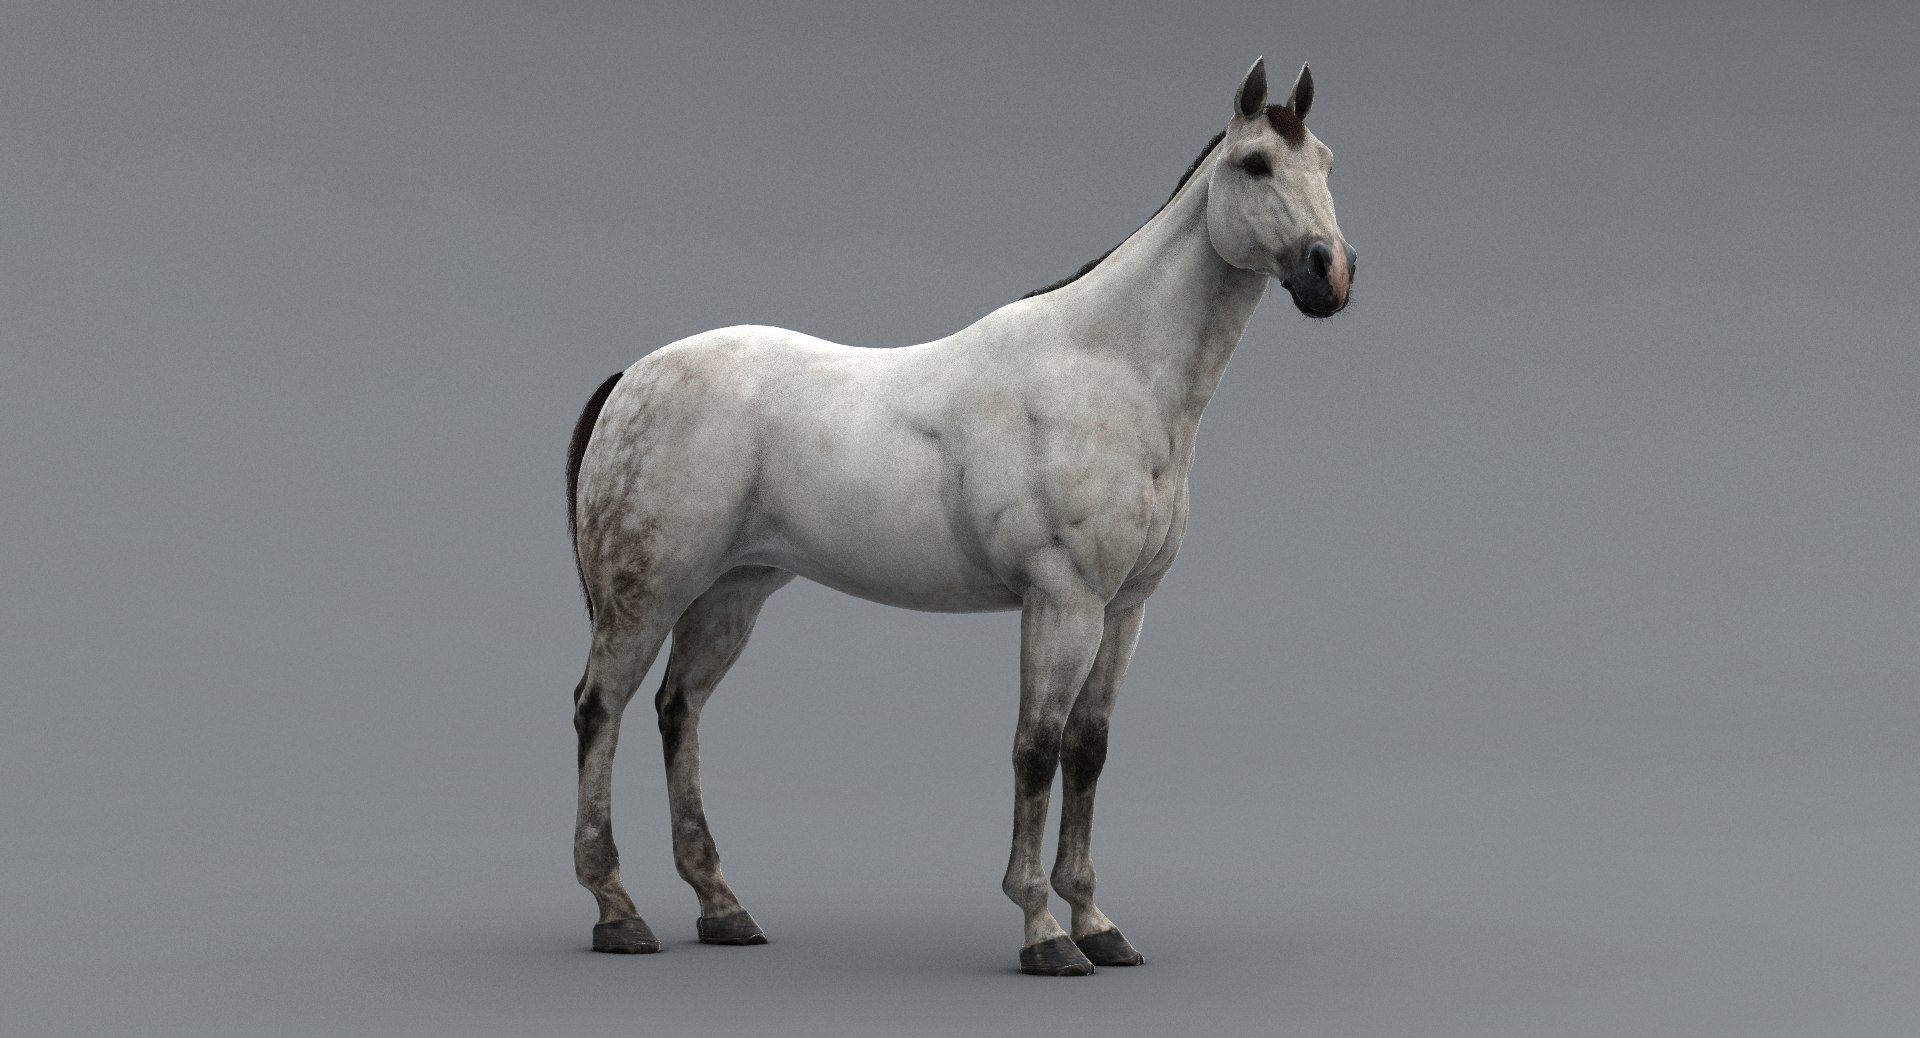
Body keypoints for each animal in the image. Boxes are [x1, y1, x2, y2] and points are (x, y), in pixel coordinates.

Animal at [564, 57, 1354, 976]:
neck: (1106, 371)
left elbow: (1088, 750)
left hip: (733, 594)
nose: (1331, 272)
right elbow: (1036, 750)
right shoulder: (1062, 602)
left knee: (677, 711)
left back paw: (722, 907)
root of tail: (633, 377)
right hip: (645, 596)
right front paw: (1044, 934)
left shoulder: (1124, 609)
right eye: (1255, 164)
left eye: (1325, 163)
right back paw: (617, 913)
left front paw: (1098, 924)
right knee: (600, 710)